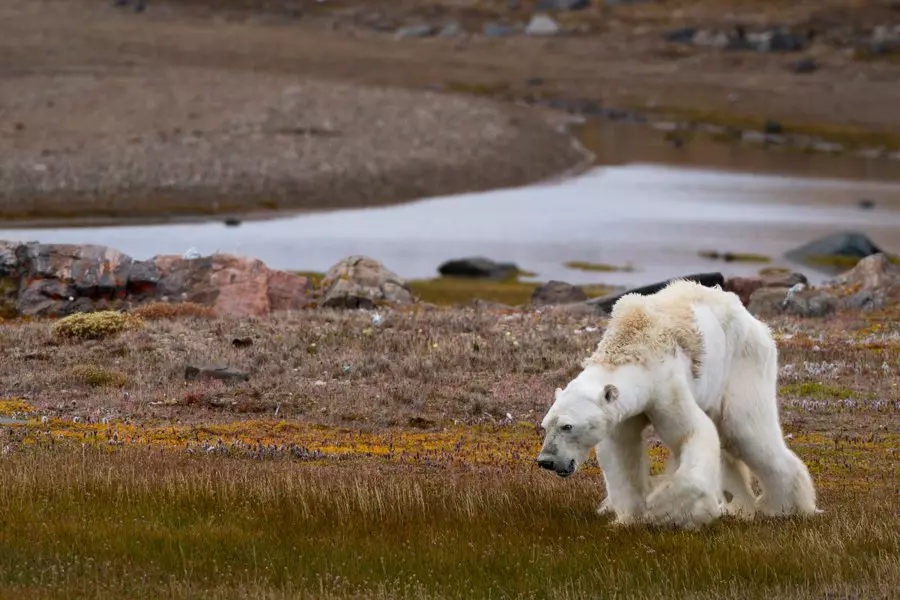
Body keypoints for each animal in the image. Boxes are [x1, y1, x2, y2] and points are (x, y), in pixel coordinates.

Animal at [536, 278, 820, 528]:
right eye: (545, 426)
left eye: (567, 426)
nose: (546, 461)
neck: (632, 345)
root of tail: (756, 322)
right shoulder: (623, 412)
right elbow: (621, 451)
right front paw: (628, 518)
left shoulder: (665, 386)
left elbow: (693, 433)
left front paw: (666, 509)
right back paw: (740, 507)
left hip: (743, 363)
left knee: (745, 431)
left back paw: (784, 507)